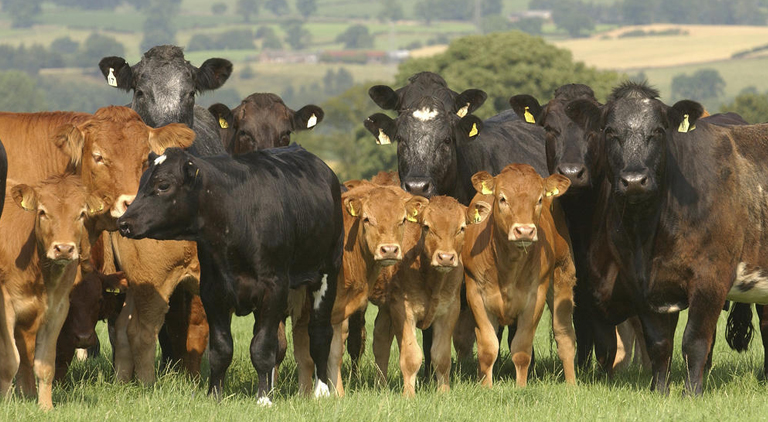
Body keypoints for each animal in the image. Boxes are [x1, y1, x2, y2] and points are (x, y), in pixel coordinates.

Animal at [0, 175, 102, 410]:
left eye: (81, 214)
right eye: (43, 212)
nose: (64, 249)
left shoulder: (58, 309)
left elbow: (45, 364)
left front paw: (46, 407)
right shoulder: (5, 304)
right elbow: (10, 360)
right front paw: (5, 404)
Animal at [117, 144, 343, 405]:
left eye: (163, 185)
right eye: (142, 182)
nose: (124, 222)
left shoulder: (274, 287)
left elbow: (262, 347)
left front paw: (263, 400)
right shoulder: (212, 291)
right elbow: (221, 349)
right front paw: (215, 395)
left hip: (327, 272)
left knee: (319, 334)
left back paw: (321, 390)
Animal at [370, 196, 476, 396]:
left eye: (462, 228)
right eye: (427, 226)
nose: (445, 257)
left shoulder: (450, 309)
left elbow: (441, 356)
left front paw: (444, 392)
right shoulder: (401, 309)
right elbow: (411, 357)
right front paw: (408, 395)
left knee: (380, 340)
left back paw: (382, 386)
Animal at [462, 164, 576, 387]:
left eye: (539, 199)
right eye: (502, 198)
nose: (524, 231)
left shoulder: (535, 296)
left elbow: (522, 349)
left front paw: (520, 387)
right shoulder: (476, 294)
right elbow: (488, 349)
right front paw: (485, 387)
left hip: (563, 277)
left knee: (564, 336)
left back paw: (572, 385)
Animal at [565, 80, 768, 395]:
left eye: (659, 131)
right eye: (609, 131)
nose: (634, 181)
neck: (648, 236)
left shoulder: (711, 278)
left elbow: (695, 341)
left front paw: (692, 392)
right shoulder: (641, 284)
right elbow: (659, 344)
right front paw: (659, 390)